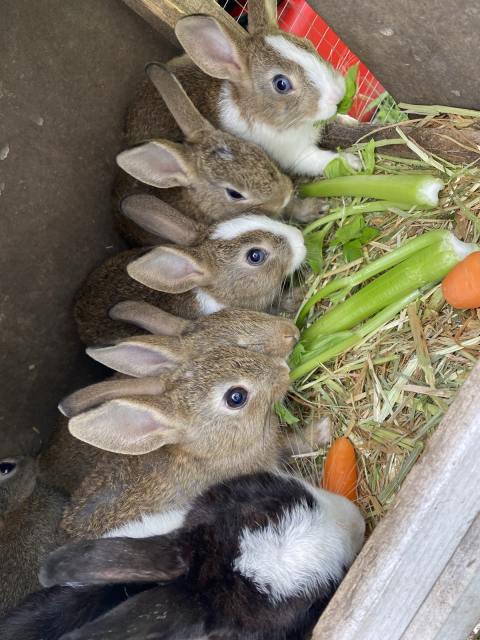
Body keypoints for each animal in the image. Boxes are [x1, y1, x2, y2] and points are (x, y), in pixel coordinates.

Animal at [126, 0, 361, 181]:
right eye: (281, 84)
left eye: (308, 43)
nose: (337, 95)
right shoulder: (296, 155)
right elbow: (321, 161)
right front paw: (354, 162)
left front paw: (350, 120)